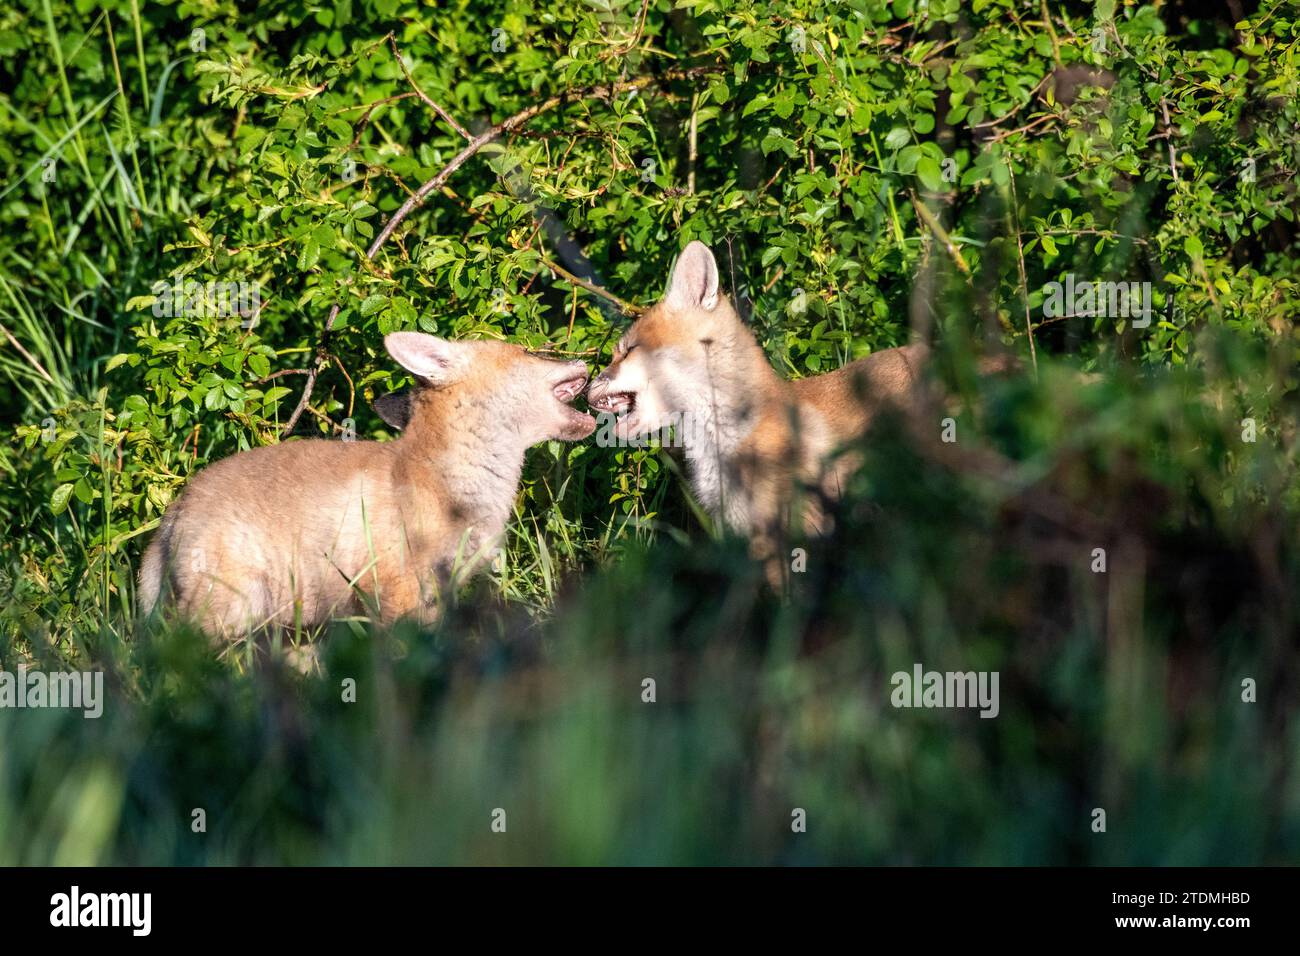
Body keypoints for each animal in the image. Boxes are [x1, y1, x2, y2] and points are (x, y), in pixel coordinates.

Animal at [138, 332, 595, 637]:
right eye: (526, 352)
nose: (587, 362)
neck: (445, 488)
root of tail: (174, 512)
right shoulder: (394, 588)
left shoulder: (438, 592)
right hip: (230, 609)